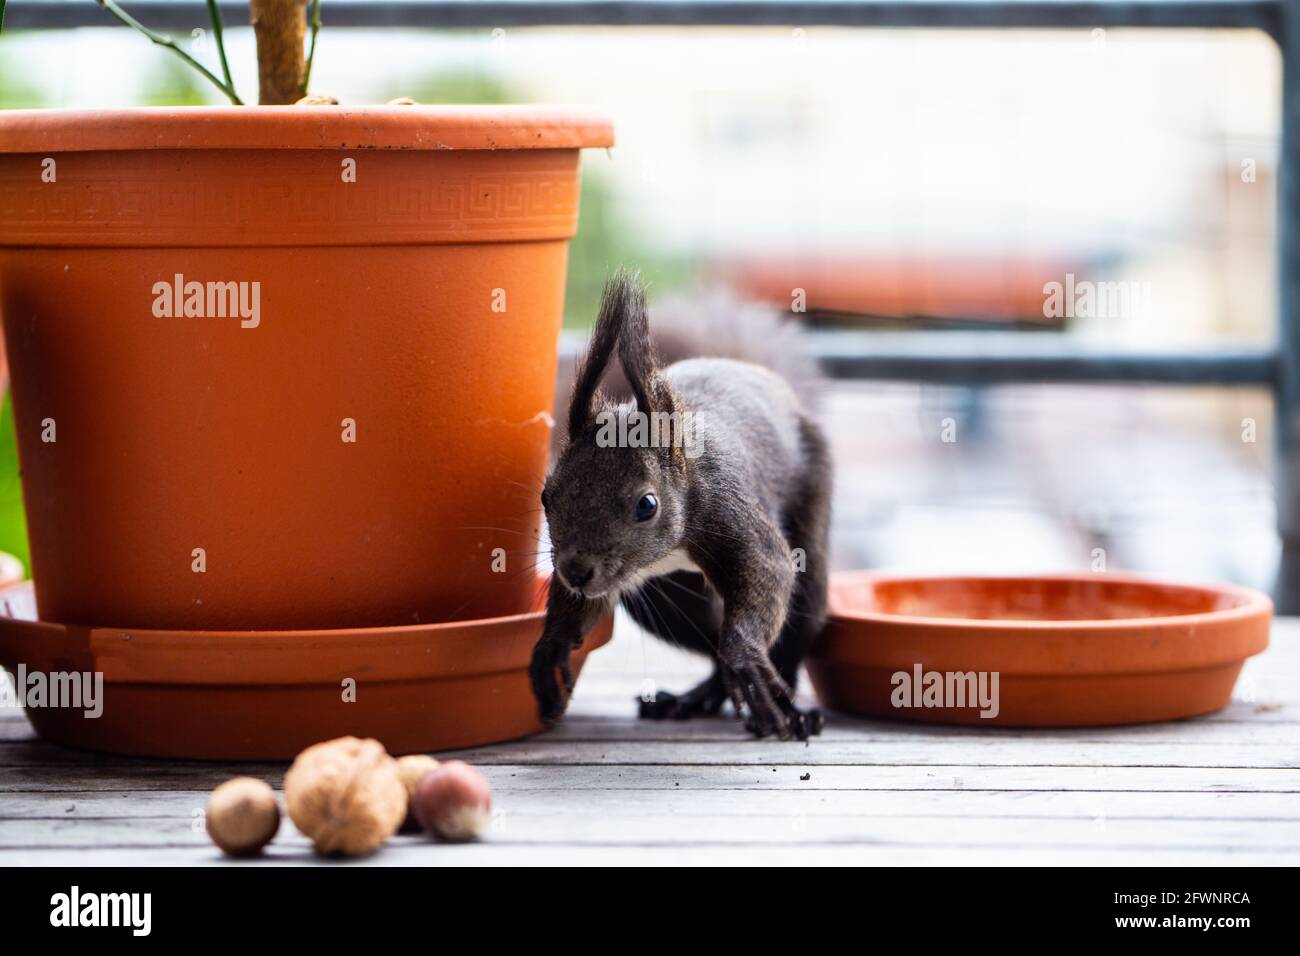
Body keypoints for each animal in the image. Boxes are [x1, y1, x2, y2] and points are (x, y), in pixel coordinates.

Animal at [529, 271, 833, 740]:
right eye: (547, 496)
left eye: (647, 505)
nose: (576, 572)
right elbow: (580, 605)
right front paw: (554, 643)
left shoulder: (726, 506)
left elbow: (769, 567)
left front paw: (747, 659)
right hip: (669, 601)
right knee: (711, 649)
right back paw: (696, 697)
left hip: (811, 530)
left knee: (791, 635)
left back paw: (791, 709)